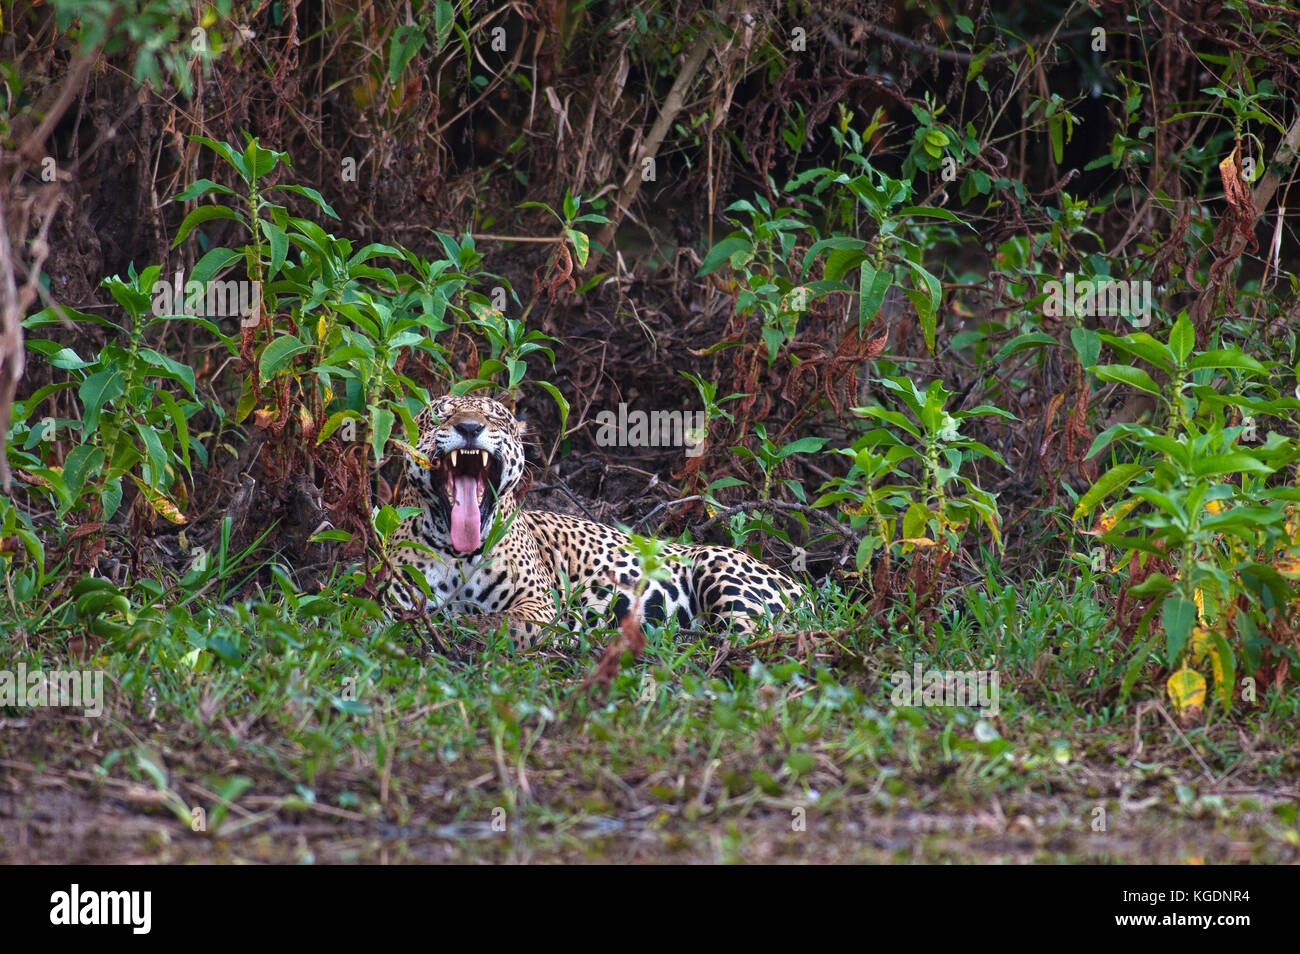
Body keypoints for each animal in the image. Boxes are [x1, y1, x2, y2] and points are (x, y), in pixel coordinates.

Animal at [388, 393, 805, 648]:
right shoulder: (391, 596)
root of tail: (799, 584)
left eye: (493, 418)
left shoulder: (538, 602)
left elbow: (502, 623)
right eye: (441, 415)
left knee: (749, 635)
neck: (456, 551)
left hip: (719, 566)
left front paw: (458, 628)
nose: (470, 429)